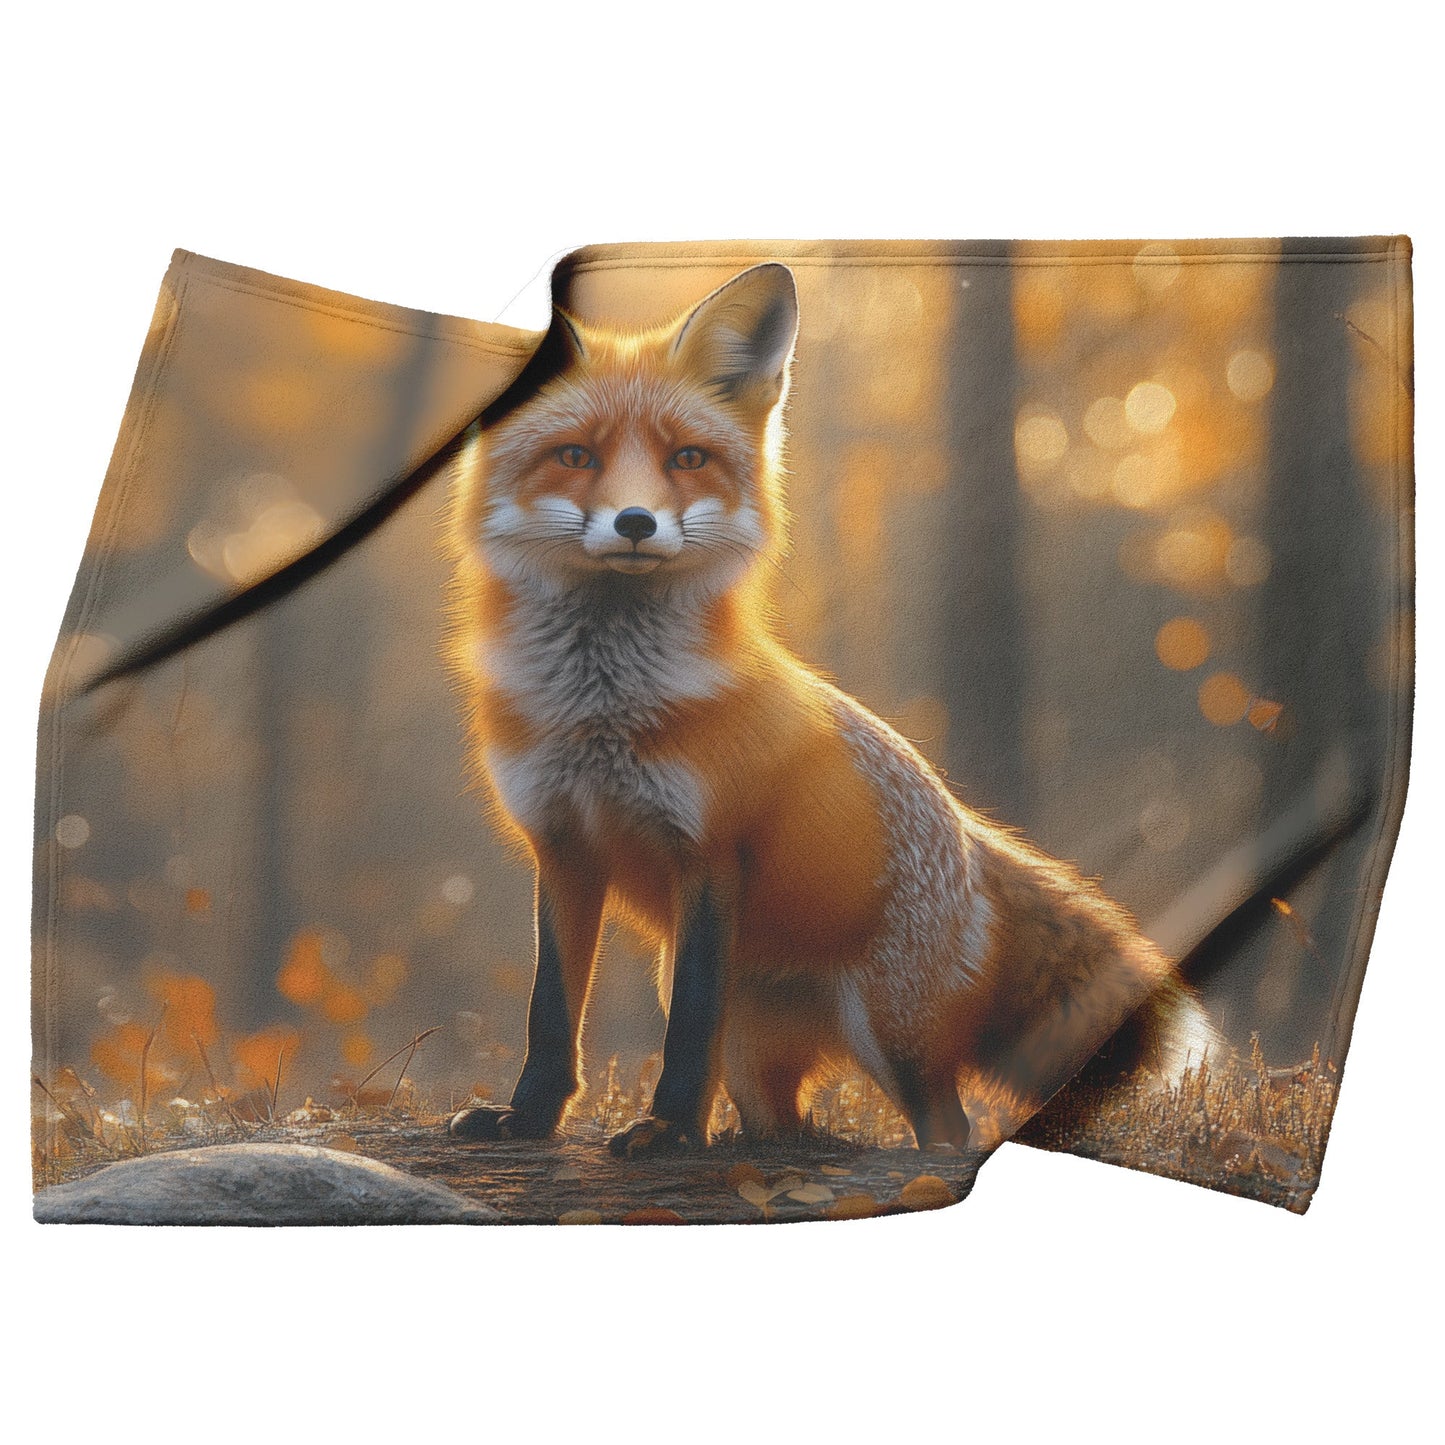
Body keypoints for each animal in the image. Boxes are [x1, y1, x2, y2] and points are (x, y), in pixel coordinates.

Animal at [443, 262, 1218, 1157]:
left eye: (687, 458)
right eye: (575, 456)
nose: (635, 522)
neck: (602, 708)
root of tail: (968, 835)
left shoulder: (711, 852)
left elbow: (687, 1030)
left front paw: (668, 1130)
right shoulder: (565, 847)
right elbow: (550, 1012)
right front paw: (528, 1118)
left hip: (892, 1038)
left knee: (945, 1129)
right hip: (756, 1052)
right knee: (782, 1121)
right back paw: (749, 1148)